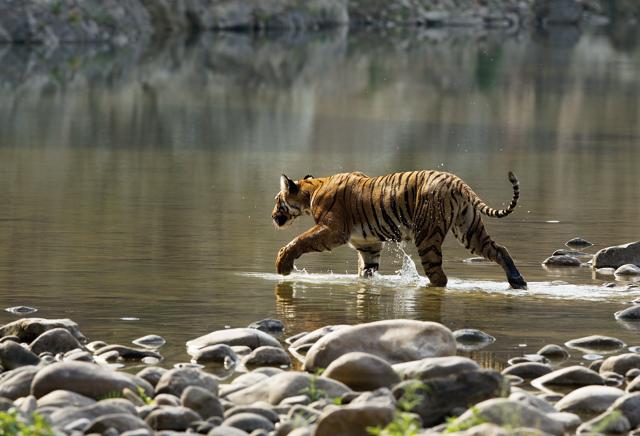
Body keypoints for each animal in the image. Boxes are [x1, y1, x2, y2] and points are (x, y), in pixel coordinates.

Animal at [272, 171, 527, 289]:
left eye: (277, 201)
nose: (273, 216)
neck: (312, 190)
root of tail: (457, 181)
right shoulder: (368, 244)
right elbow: (367, 271)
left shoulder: (332, 230)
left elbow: (300, 240)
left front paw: (283, 265)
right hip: (469, 230)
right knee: (499, 249)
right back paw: (517, 281)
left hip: (428, 236)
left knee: (438, 275)